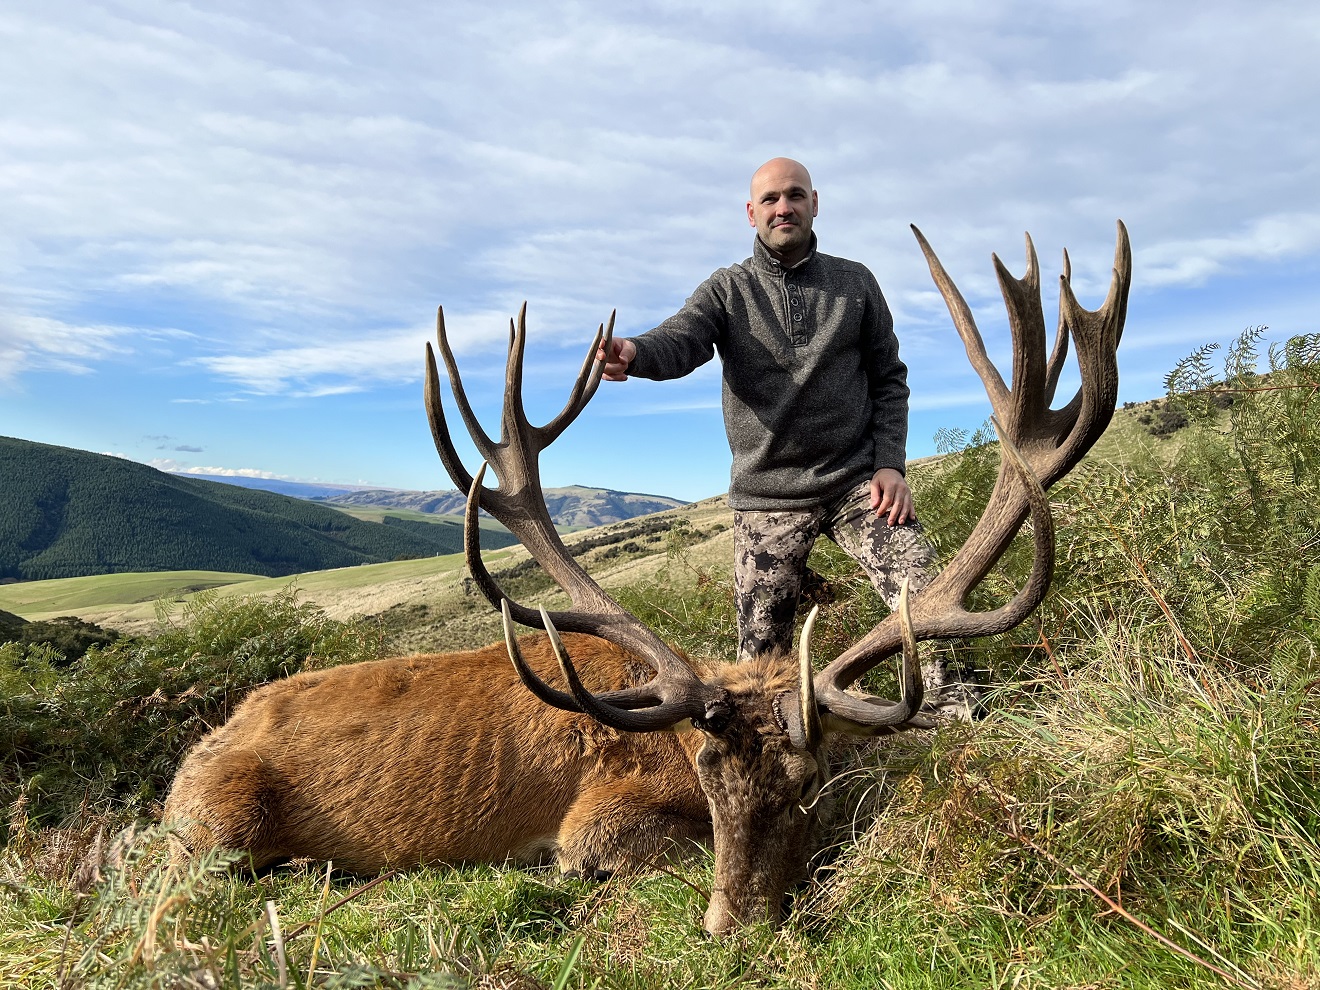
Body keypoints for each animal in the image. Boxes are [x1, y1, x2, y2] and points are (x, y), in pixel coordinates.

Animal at [163, 222, 1130, 934]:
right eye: (705, 773)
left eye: (806, 783)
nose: (731, 927)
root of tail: (197, 750)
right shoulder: (594, 817)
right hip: (215, 825)